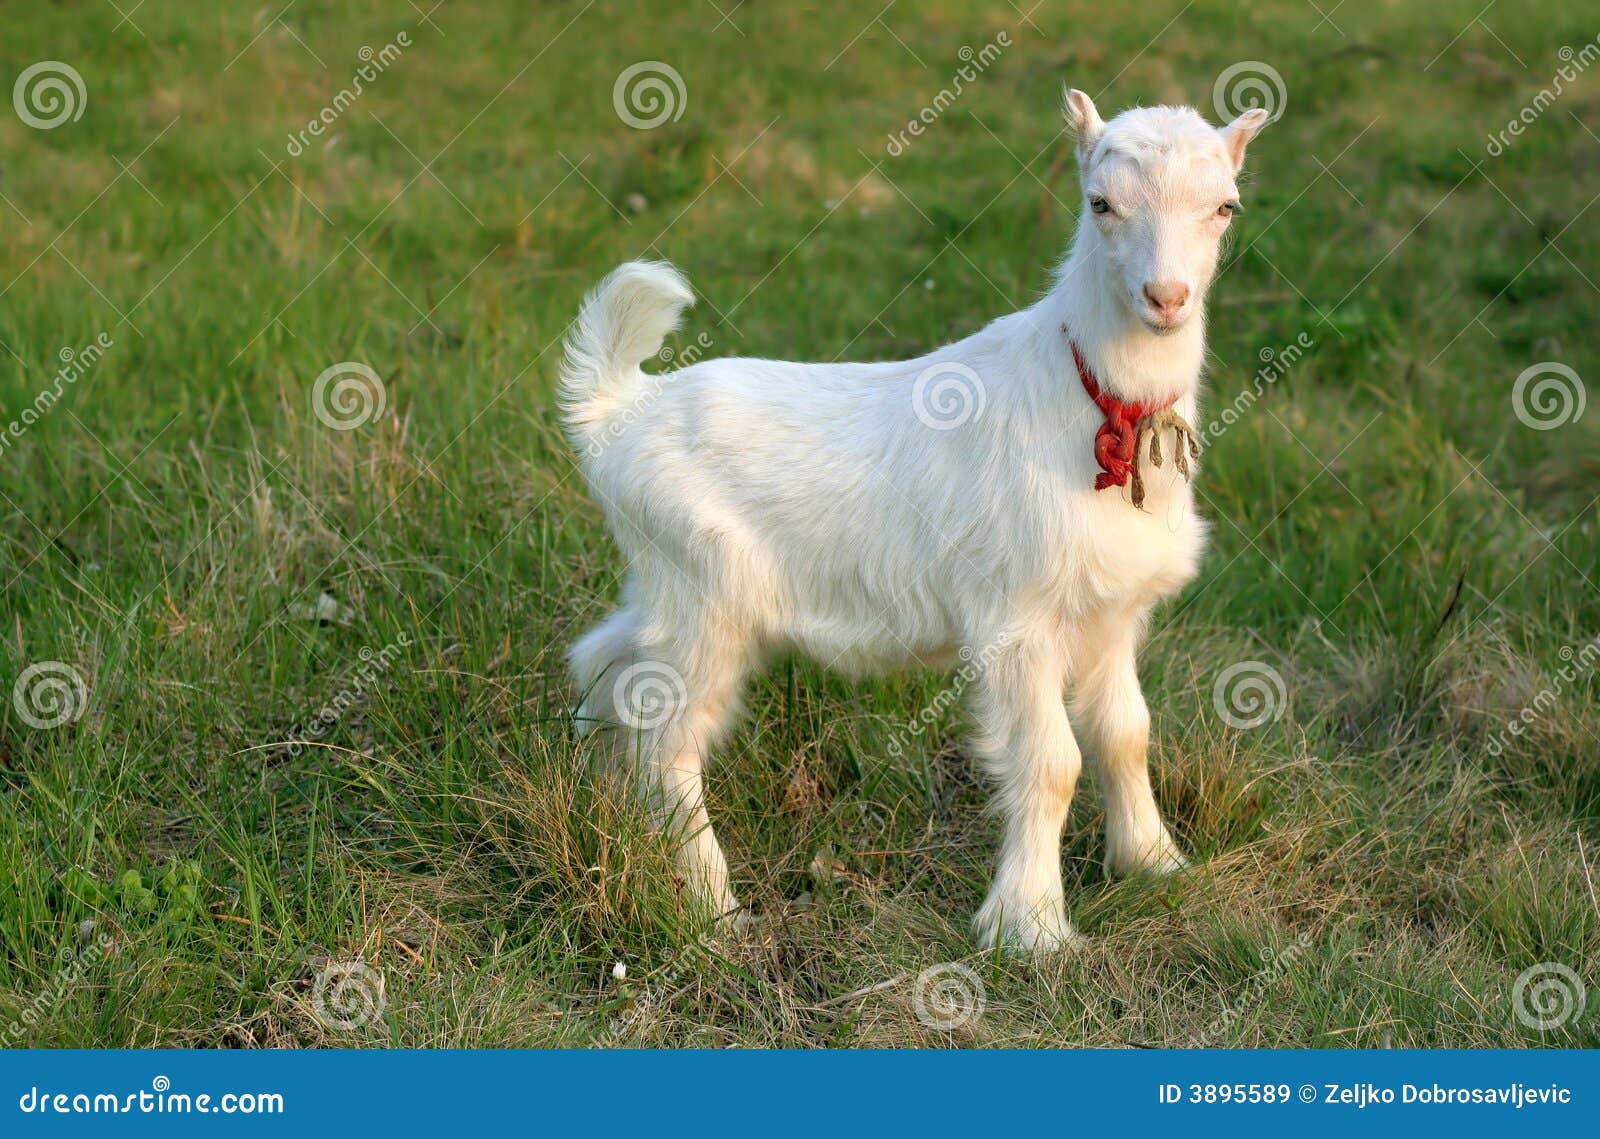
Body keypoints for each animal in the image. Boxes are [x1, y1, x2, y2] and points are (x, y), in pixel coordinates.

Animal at [560, 88, 1271, 953]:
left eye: (1225, 207)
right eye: (1100, 203)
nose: (1165, 298)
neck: (1094, 399)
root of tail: (617, 412)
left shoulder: (1109, 611)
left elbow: (1126, 734)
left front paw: (1154, 864)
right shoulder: (1016, 619)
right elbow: (1051, 763)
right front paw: (1030, 928)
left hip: (661, 584)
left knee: (605, 657)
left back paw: (606, 805)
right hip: (707, 600)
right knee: (668, 740)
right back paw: (710, 905)